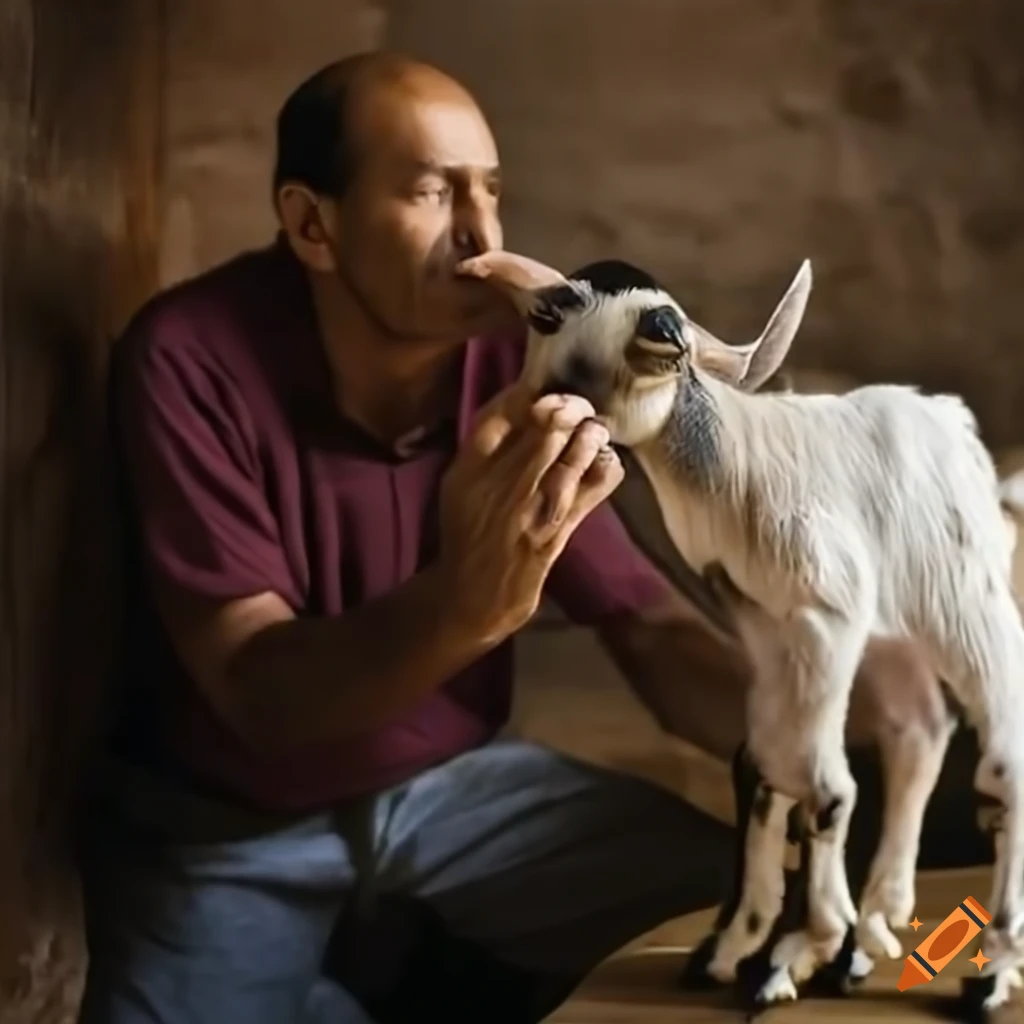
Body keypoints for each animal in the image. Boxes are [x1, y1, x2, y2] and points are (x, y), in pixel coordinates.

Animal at [457, 250, 1024, 1014]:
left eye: (650, 342)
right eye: (545, 317)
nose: (536, 410)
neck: (732, 466)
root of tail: (956, 430)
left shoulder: (821, 619)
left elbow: (824, 783)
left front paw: (793, 952)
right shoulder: (764, 627)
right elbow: (760, 765)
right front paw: (737, 946)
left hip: (962, 604)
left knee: (1002, 757)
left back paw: (987, 975)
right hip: (891, 637)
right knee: (919, 731)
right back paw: (872, 933)